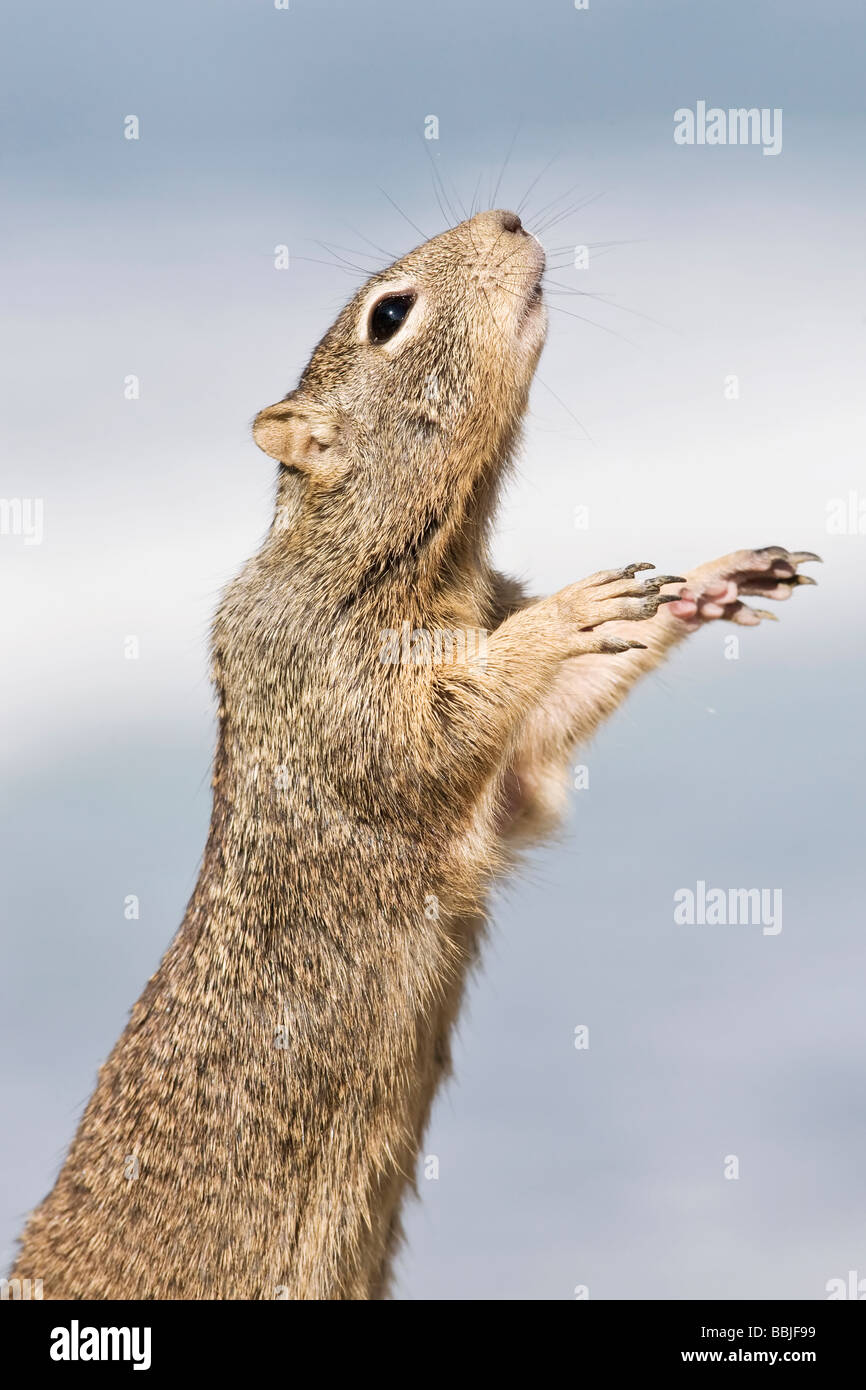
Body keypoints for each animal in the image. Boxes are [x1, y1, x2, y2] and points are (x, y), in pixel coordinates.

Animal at [10, 209, 819, 1299]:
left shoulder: (502, 762)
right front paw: (576, 611)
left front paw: (708, 581)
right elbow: (436, 724)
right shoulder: (330, 675)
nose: (507, 217)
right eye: (388, 317)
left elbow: (534, 729)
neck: (417, 554)